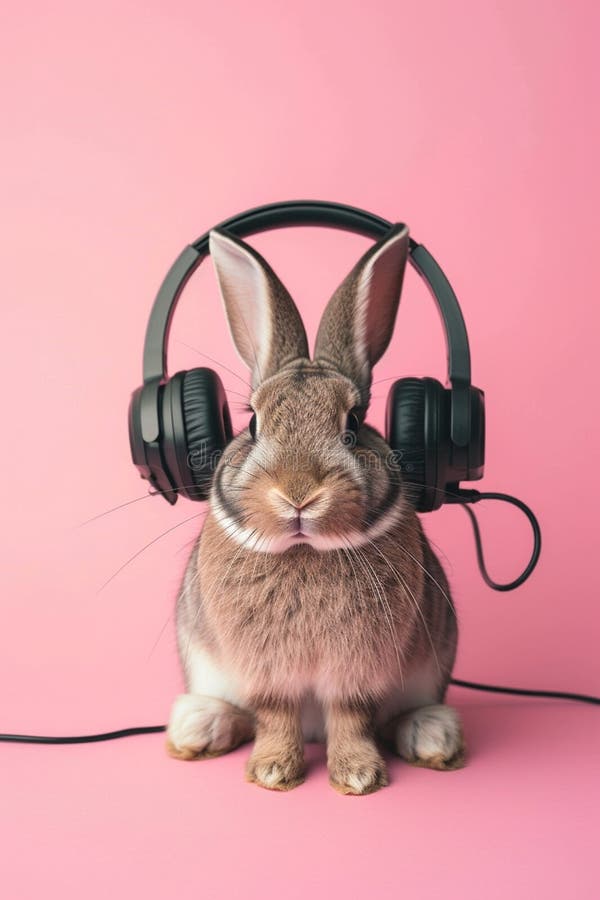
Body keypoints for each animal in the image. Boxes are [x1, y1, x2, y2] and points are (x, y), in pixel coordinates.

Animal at [166, 223, 465, 794]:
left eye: (354, 423)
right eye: (252, 422)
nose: (298, 492)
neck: (305, 550)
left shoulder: (359, 671)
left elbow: (352, 716)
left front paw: (358, 777)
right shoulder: (266, 672)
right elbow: (273, 714)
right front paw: (272, 771)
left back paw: (431, 736)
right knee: (241, 714)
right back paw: (200, 727)